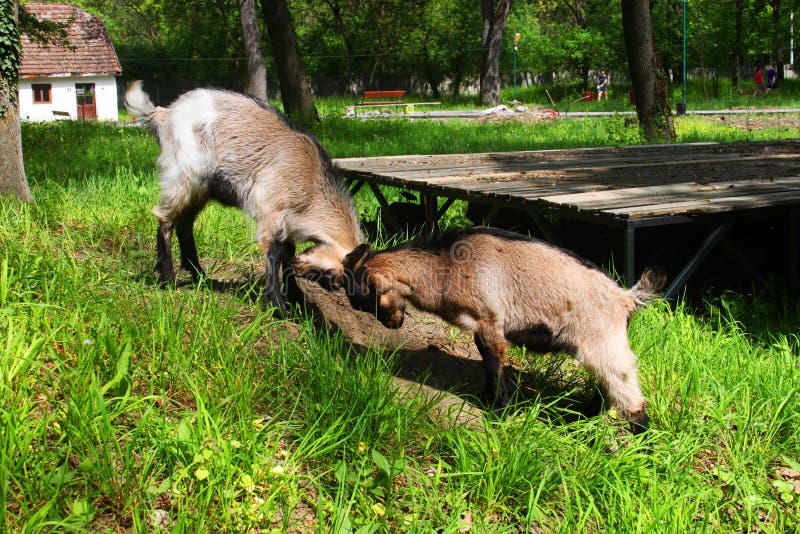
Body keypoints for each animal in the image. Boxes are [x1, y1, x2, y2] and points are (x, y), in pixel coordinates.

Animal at [124, 81, 364, 315]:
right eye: (334, 273)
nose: (335, 288)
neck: (311, 184)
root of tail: (164, 115)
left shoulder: (288, 223)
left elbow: (288, 255)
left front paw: (296, 300)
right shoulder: (270, 212)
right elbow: (274, 255)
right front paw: (279, 308)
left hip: (201, 190)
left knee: (185, 224)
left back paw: (199, 275)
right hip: (182, 177)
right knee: (165, 220)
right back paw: (168, 279)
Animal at [343, 227, 666, 433]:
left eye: (367, 299)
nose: (392, 324)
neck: (446, 265)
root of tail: (626, 299)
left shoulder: (490, 322)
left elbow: (494, 363)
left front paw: (498, 412)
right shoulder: (479, 326)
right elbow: (486, 361)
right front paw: (485, 398)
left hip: (604, 342)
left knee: (630, 396)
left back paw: (643, 445)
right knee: (605, 384)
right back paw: (580, 417)